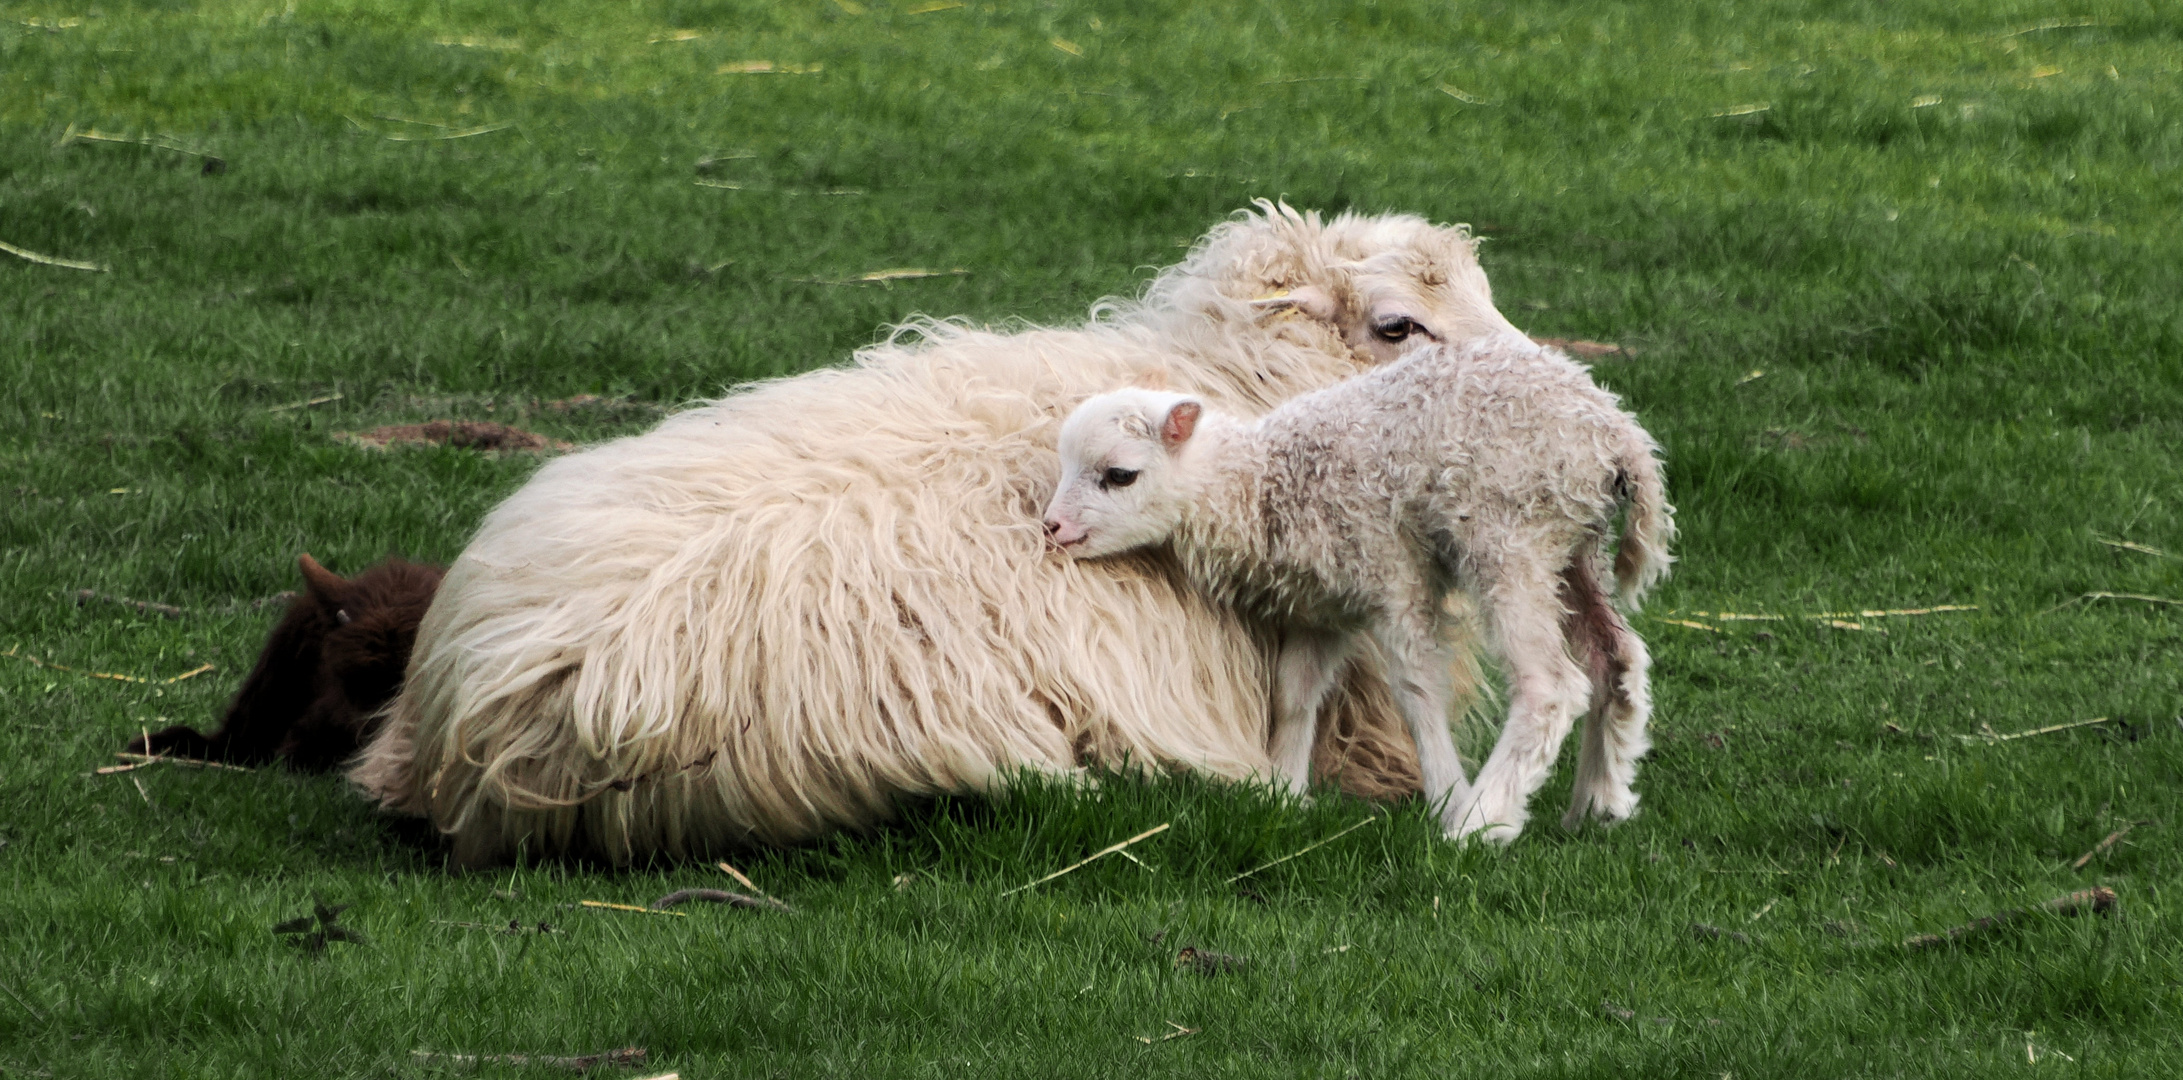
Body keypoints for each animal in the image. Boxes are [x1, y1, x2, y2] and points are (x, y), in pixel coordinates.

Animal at [1042, 333, 1674, 843]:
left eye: (1120, 475)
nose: (1051, 528)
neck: (1263, 482)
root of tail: (1618, 433)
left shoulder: (1391, 572)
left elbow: (1417, 692)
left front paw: (1449, 798)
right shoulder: (1320, 602)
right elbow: (1294, 694)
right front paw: (1282, 792)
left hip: (1511, 531)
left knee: (1550, 685)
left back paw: (1481, 823)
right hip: (1575, 544)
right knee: (1616, 656)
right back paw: (1599, 803)